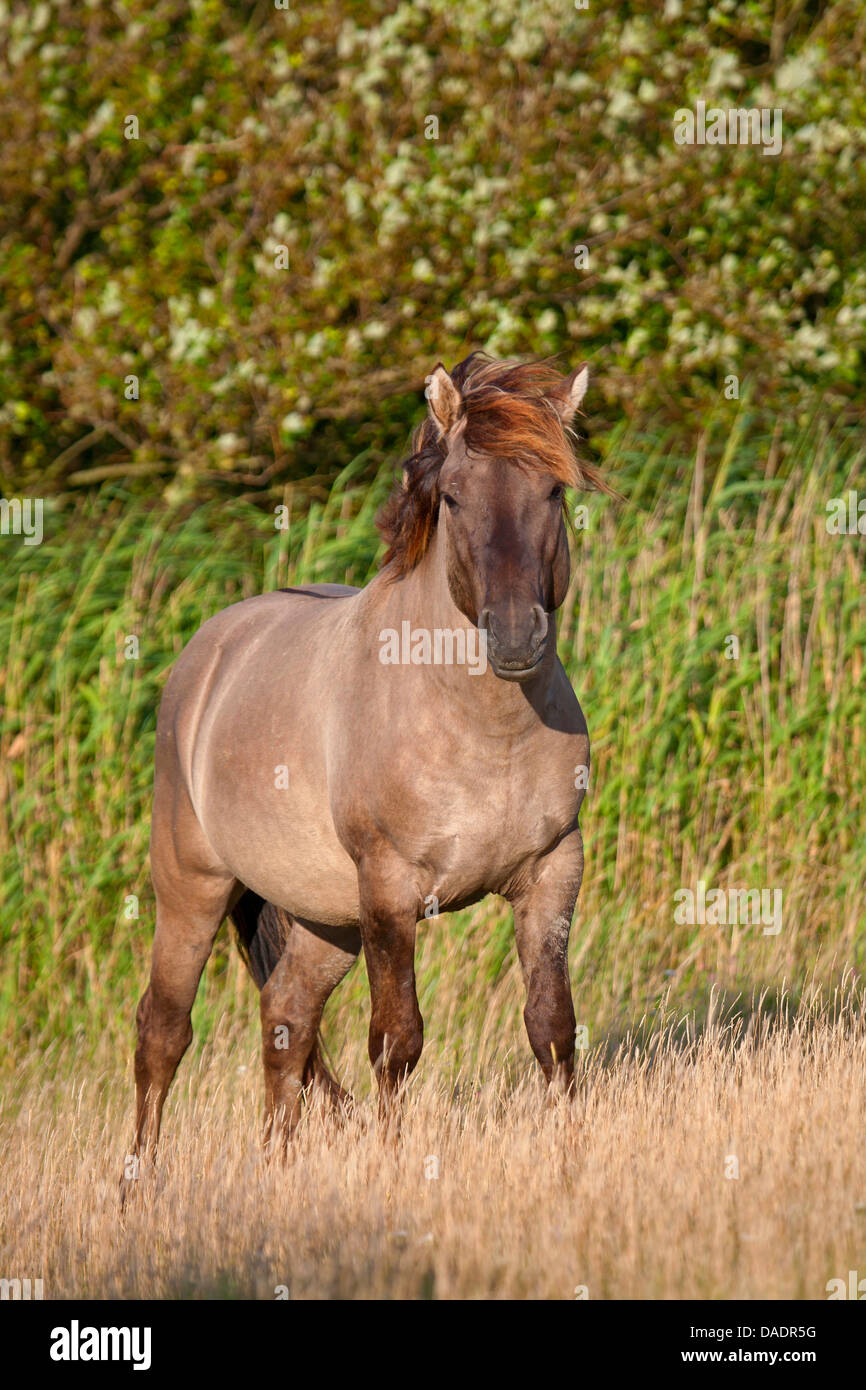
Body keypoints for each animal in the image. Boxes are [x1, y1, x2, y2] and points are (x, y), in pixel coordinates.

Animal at [131, 352, 610, 1157]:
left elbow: (552, 1026)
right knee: (162, 1031)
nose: (516, 637)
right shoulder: (390, 888)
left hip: (327, 918)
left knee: (287, 1017)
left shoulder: (552, 872)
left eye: (554, 490)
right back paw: (141, 1177)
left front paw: (573, 1150)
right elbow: (397, 1039)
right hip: (193, 889)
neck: (483, 731)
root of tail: (209, 653)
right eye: (453, 498)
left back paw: (278, 1162)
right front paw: (390, 1163)